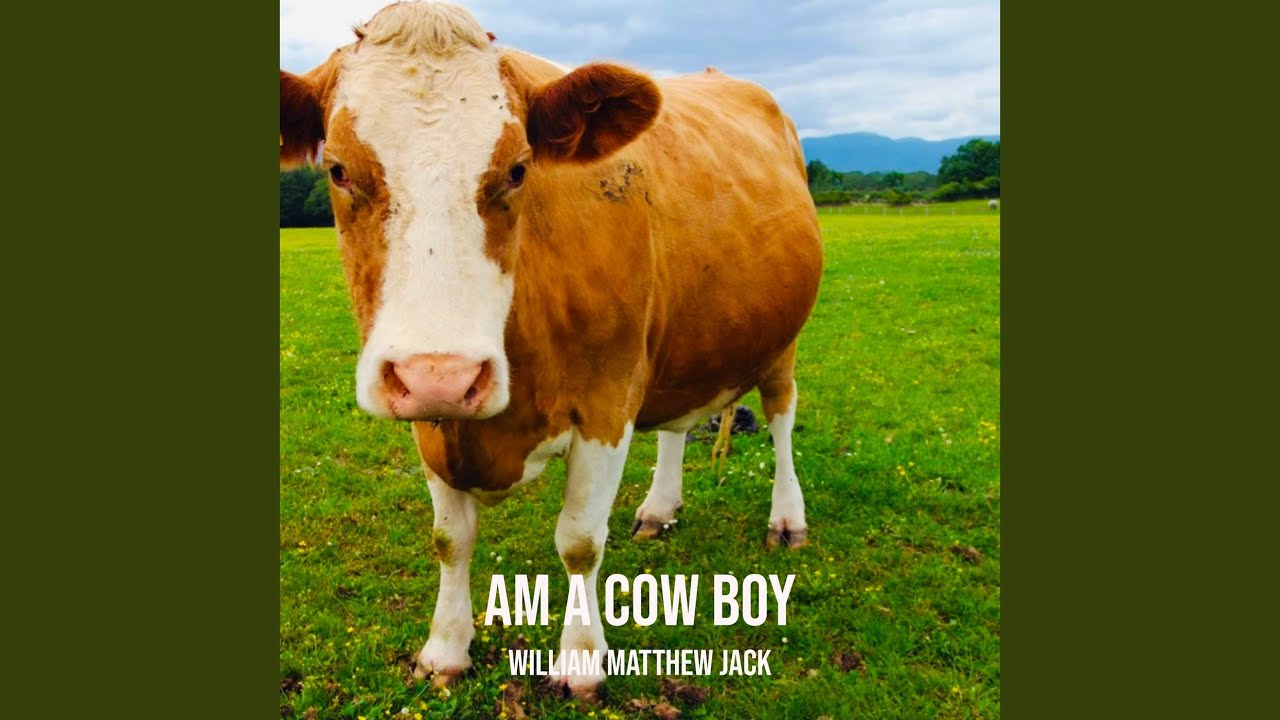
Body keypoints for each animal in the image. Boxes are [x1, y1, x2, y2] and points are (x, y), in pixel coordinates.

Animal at [279, 1, 823, 700]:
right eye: (339, 169)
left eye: (517, 168)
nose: (442, 377)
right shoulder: (430, 421)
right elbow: (450, 539)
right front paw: (445, 649)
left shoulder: (606, 401)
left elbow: (580, 542)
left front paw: (582, 661)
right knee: (679, 422)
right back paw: (660, 508)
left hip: (782, 338)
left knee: (781, 417)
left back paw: (787, 519)